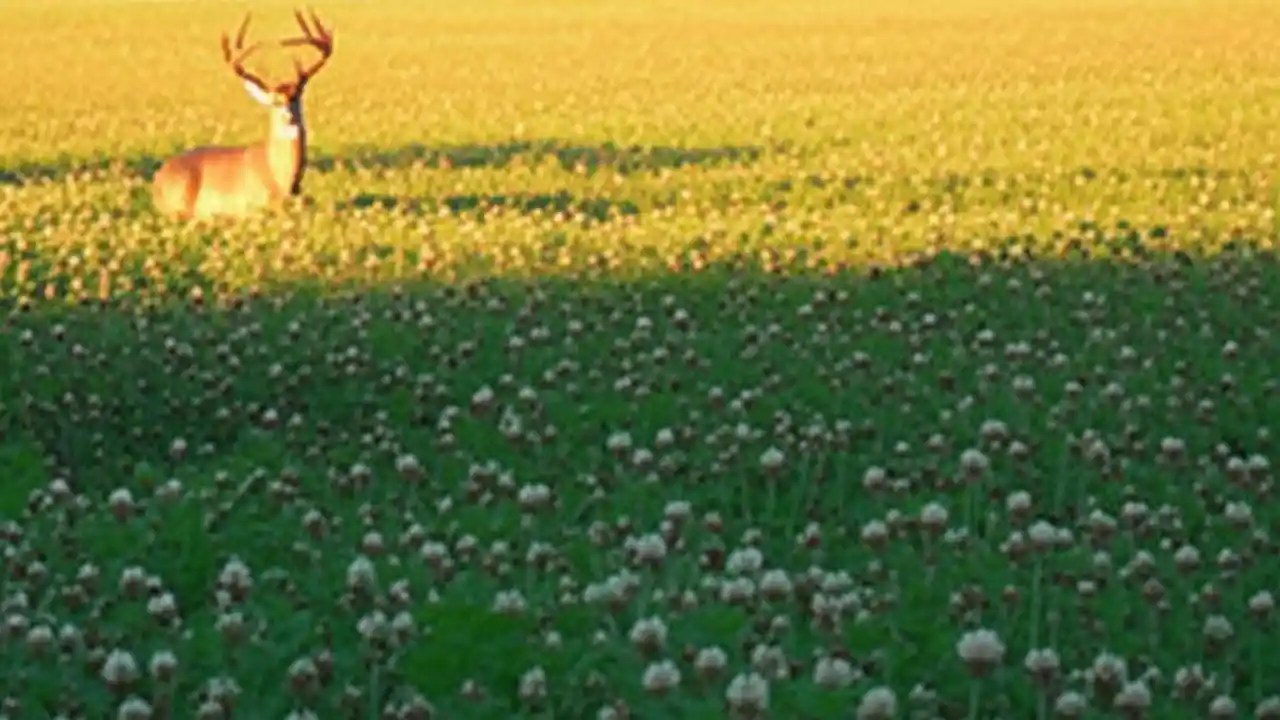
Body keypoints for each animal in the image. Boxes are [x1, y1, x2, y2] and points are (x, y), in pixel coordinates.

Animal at [151, 9, 334, 221]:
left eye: (297, 96)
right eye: (275, 102)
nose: (289, 117)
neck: (283, 181)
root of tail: (158, 178)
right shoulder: (253, 205)